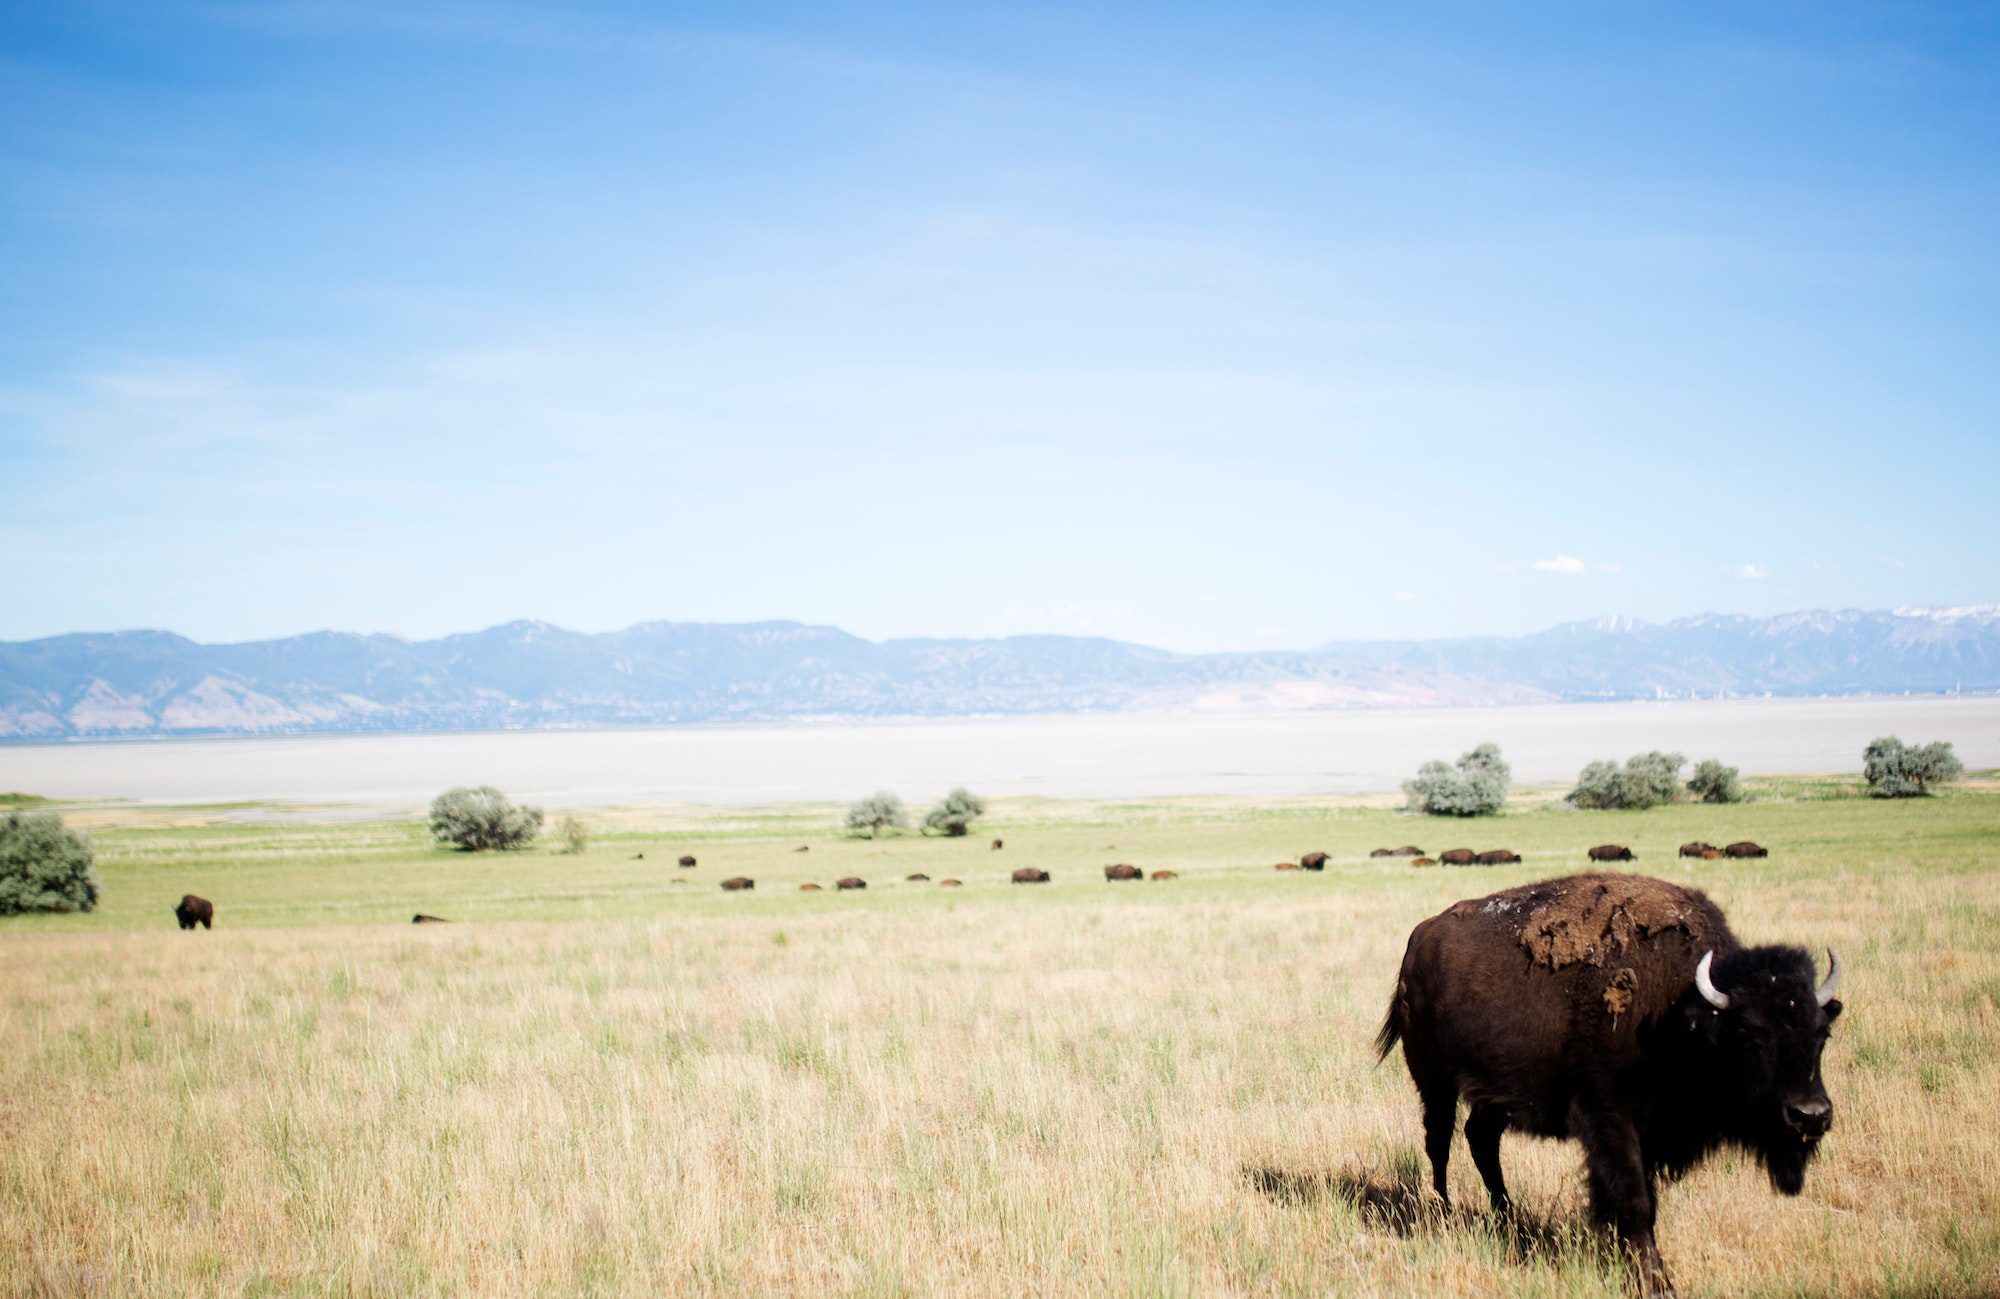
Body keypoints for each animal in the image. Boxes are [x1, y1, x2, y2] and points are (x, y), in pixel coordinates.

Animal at [1377, 872, 1842, 1297]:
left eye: (1822, 1032)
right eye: (1749, 1033)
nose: (1810, 1115)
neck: (1680, 1012)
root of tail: (1419, 939)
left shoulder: (1647, 1131)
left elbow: (1631, 1198)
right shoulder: (1610, 1117)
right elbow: (1635, 1201)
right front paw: (1656, 1282)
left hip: (1494, 1092)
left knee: (1481, 1140)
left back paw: (1510, 1220)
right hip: (1434, 1077)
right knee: (1439, 1140)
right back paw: (1444, 1213)